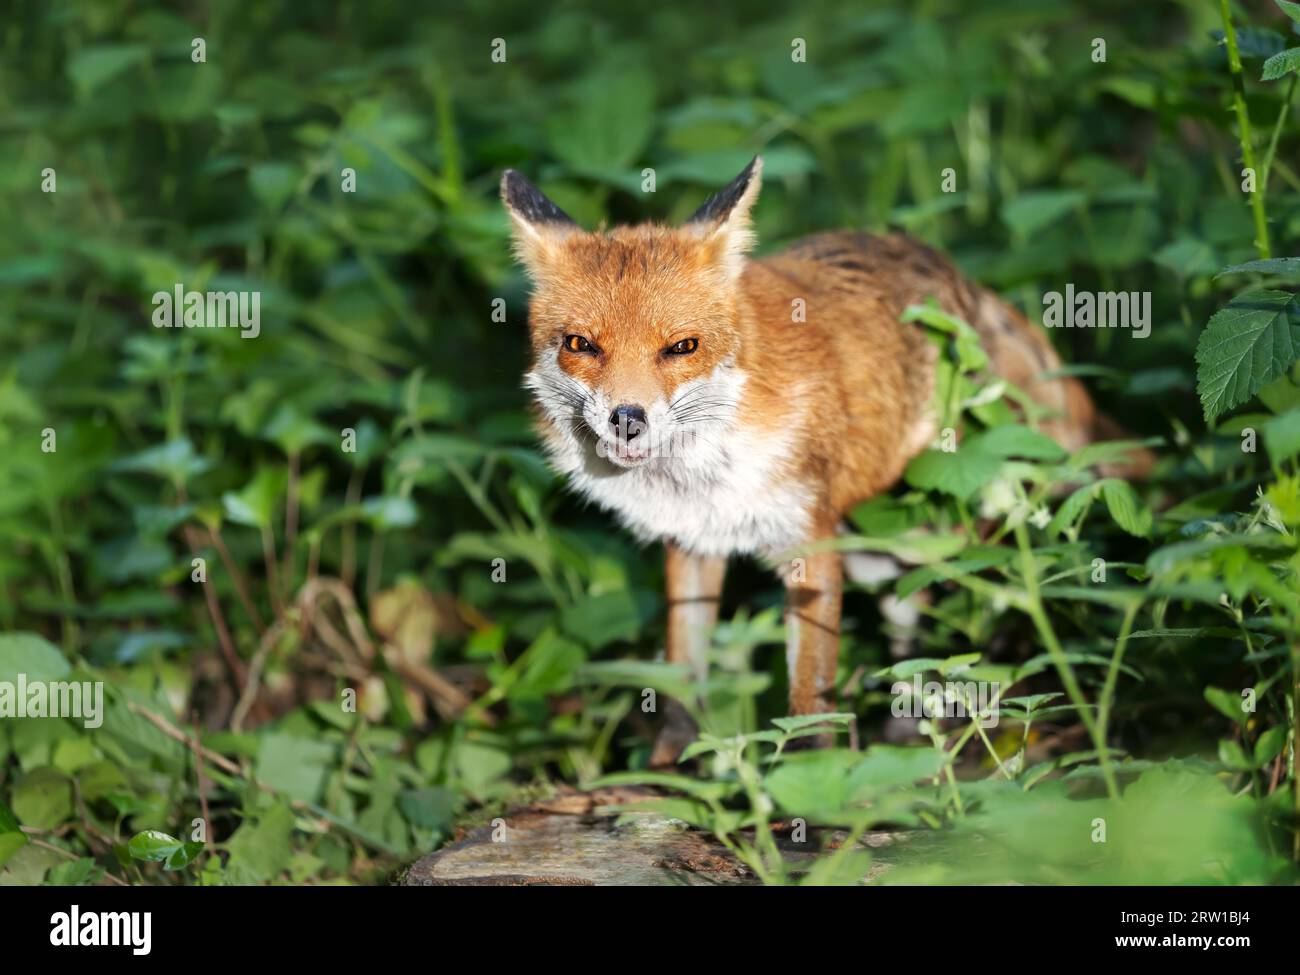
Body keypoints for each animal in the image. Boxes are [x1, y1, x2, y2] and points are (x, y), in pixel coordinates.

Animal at [501, 156, 1149, 762]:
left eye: (681, 347)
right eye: (581, 345)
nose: (628, 419)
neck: (702, 471)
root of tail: (972, 288)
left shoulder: (809, 538)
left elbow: (809, 694)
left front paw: (810, 784)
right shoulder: (692, 542)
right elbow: (684, 670)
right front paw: (670, 770)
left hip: (943, 531)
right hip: (879, 553)